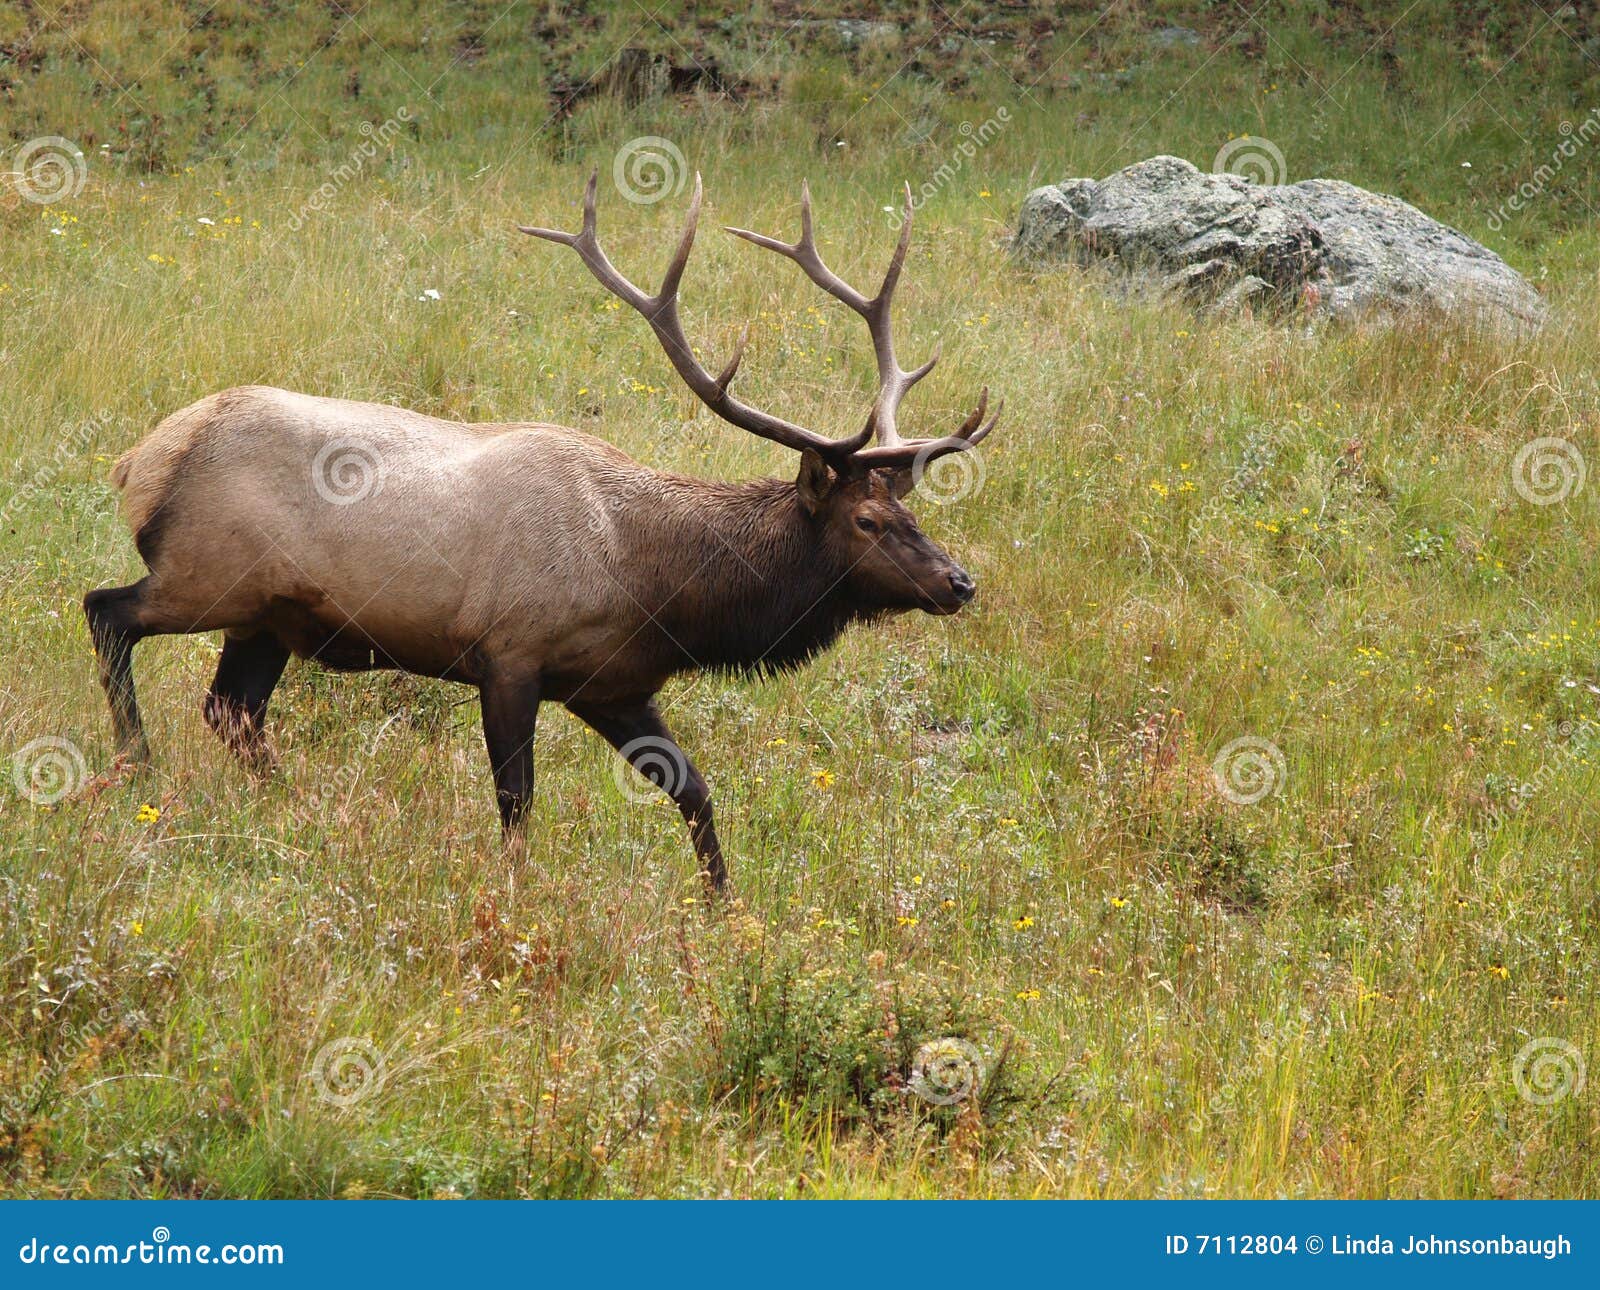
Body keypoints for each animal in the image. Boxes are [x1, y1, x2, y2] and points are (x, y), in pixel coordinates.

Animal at [83, 172, 1001, 891]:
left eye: (913, 513)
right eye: (869, 520)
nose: (959, 582)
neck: (649, 580)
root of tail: (141, 460)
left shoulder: (612, 681)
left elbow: (695, 790)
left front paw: (724, 909)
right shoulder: (509, 654)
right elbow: (517, 804)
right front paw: (517, 897)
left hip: (269, 617)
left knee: (232, 712)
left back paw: (298, 812)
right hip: (205, 575)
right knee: (108, 610)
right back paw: (137, 764)